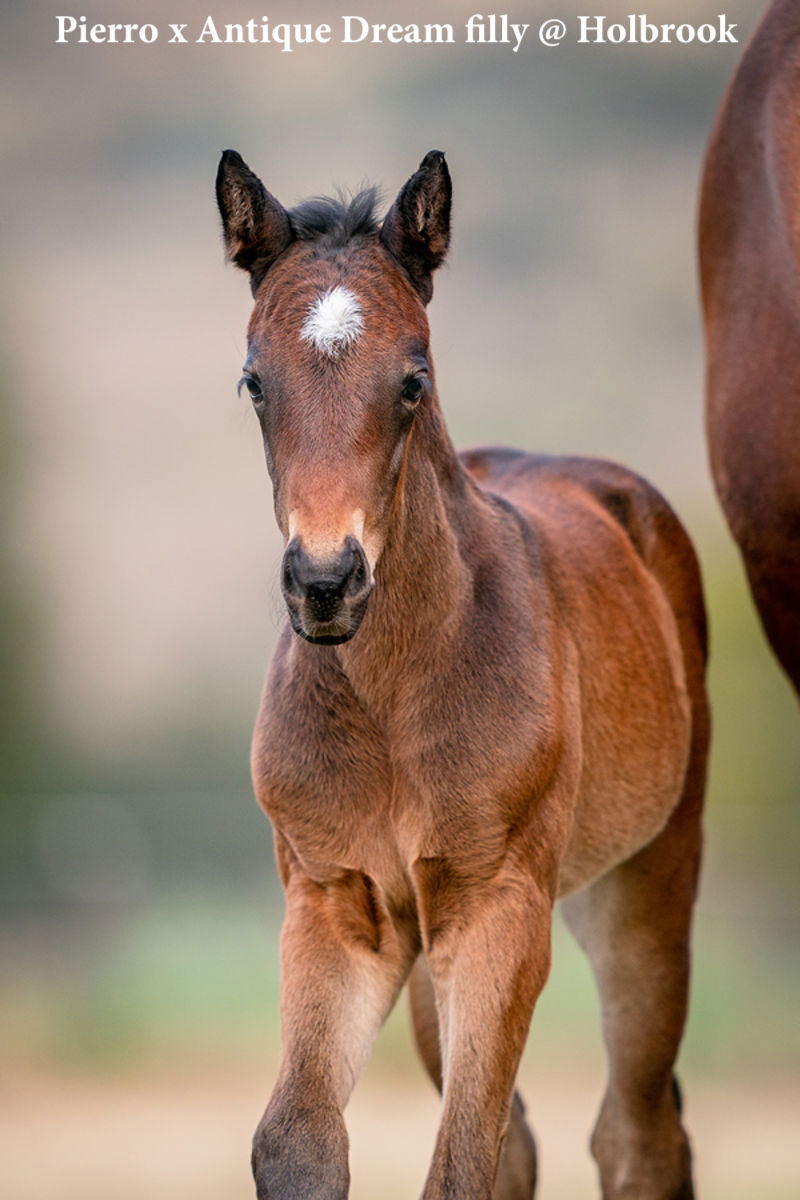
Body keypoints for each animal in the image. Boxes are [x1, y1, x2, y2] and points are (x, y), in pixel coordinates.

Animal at [216, 148, 709, 1200]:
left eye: (413, 380)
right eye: (253, 383)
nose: (326, 582)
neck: (394, 699)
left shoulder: (498, 908)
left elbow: (462, 1159)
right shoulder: (337, 901)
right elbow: (296, 1144)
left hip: (647, 881)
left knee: (638, 1133)